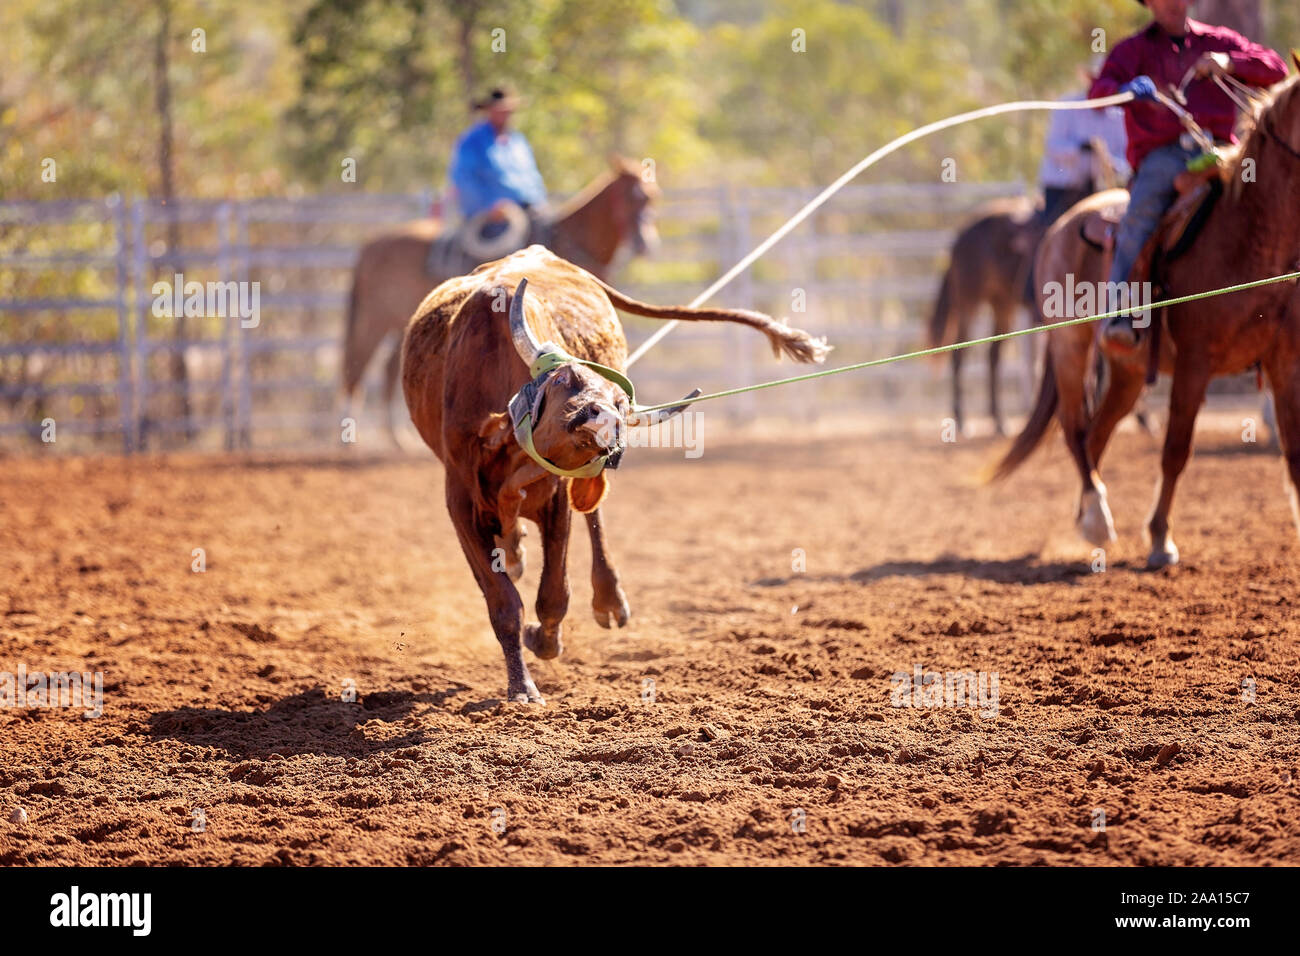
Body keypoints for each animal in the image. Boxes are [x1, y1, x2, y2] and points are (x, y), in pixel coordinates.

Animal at [401, 245, 829, 703]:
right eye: (567, 378)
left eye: (622, 403)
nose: (601, 416)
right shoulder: (461, 501)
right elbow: (504, 603)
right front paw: (522, 686)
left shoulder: (554, 494)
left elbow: (554, 594)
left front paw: (543, 639)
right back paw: (516, 553)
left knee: (592, 516)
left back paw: (608, 598)